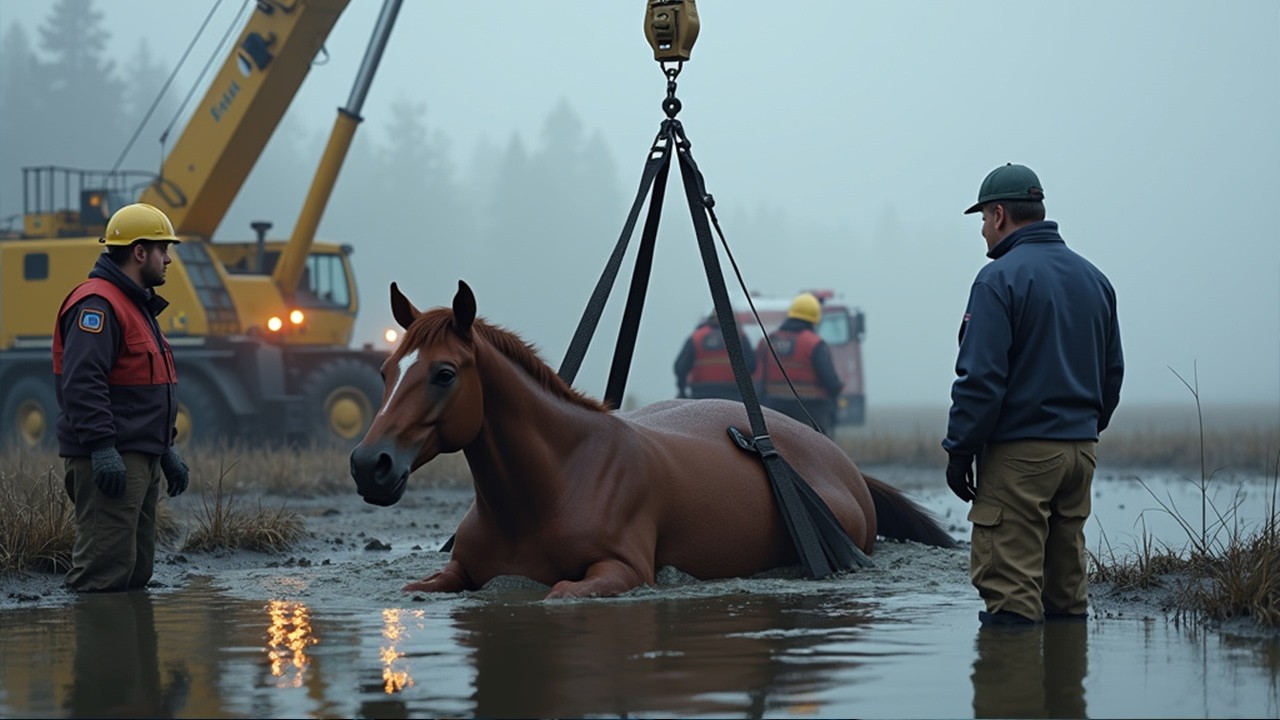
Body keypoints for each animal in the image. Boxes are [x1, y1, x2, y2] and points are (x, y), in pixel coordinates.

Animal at [349, 280, 956, 599]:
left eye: (444, 374)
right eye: (384, 371)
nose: (368, 463)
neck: (553, 485)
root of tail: (842, 460)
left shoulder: (620, 571)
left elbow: (558, 593)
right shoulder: (456, 573)